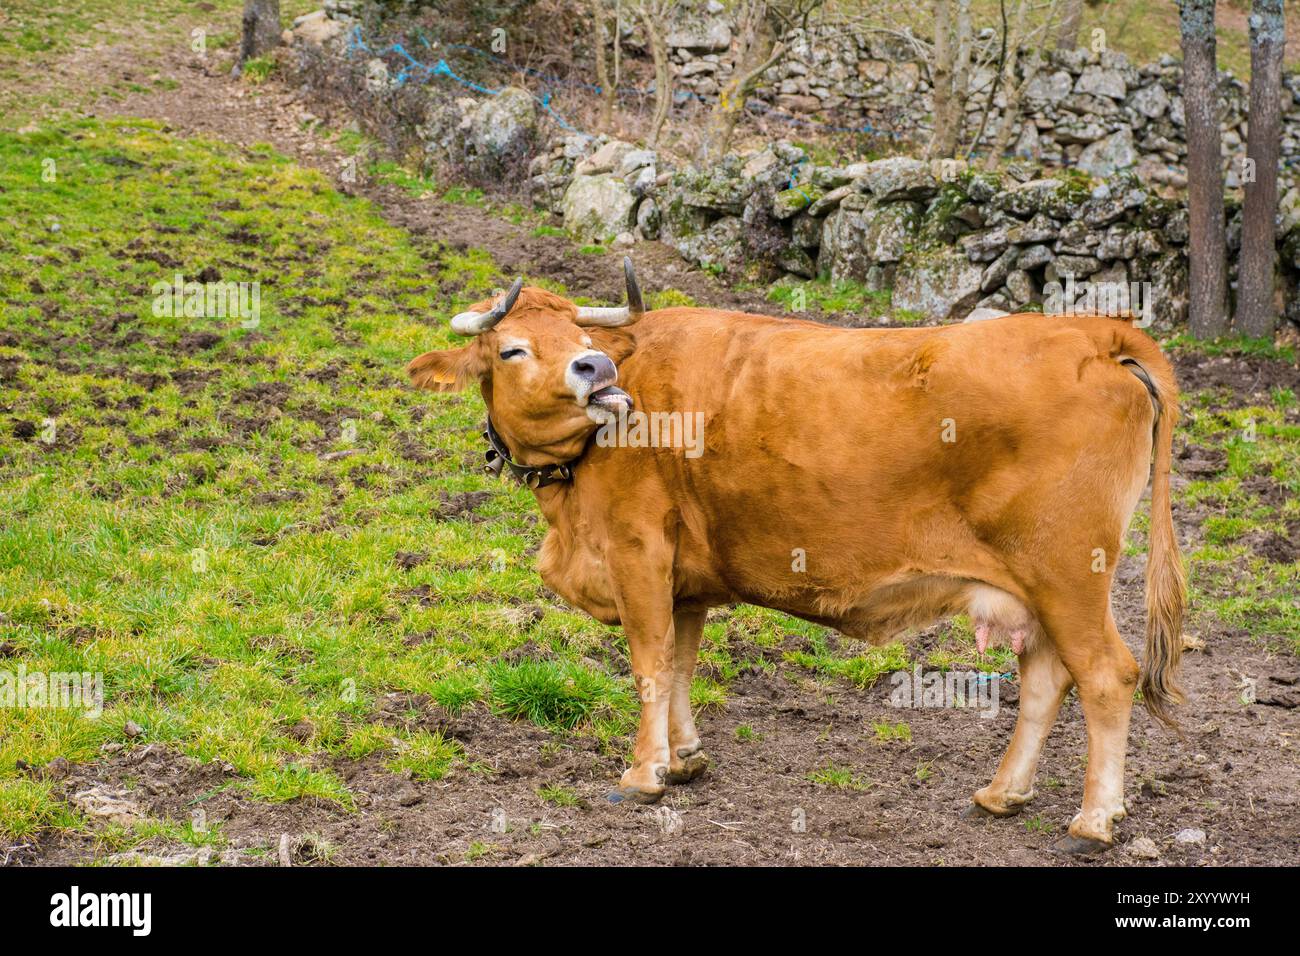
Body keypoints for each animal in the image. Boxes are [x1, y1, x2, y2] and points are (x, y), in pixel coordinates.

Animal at [407, 260, 1186, 854]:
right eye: (511, 348)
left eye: (578, 333)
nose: (594, 367)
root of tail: (1089, 332)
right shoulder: (685, 578)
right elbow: (681, 662)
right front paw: (684, 758)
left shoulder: (638, 552)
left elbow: (651, 665)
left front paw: (642, 774)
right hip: (1037, 588)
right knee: (1048, 677)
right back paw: (1002, 793)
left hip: (1068, 573)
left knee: (1106, 675)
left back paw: (1093, 820)